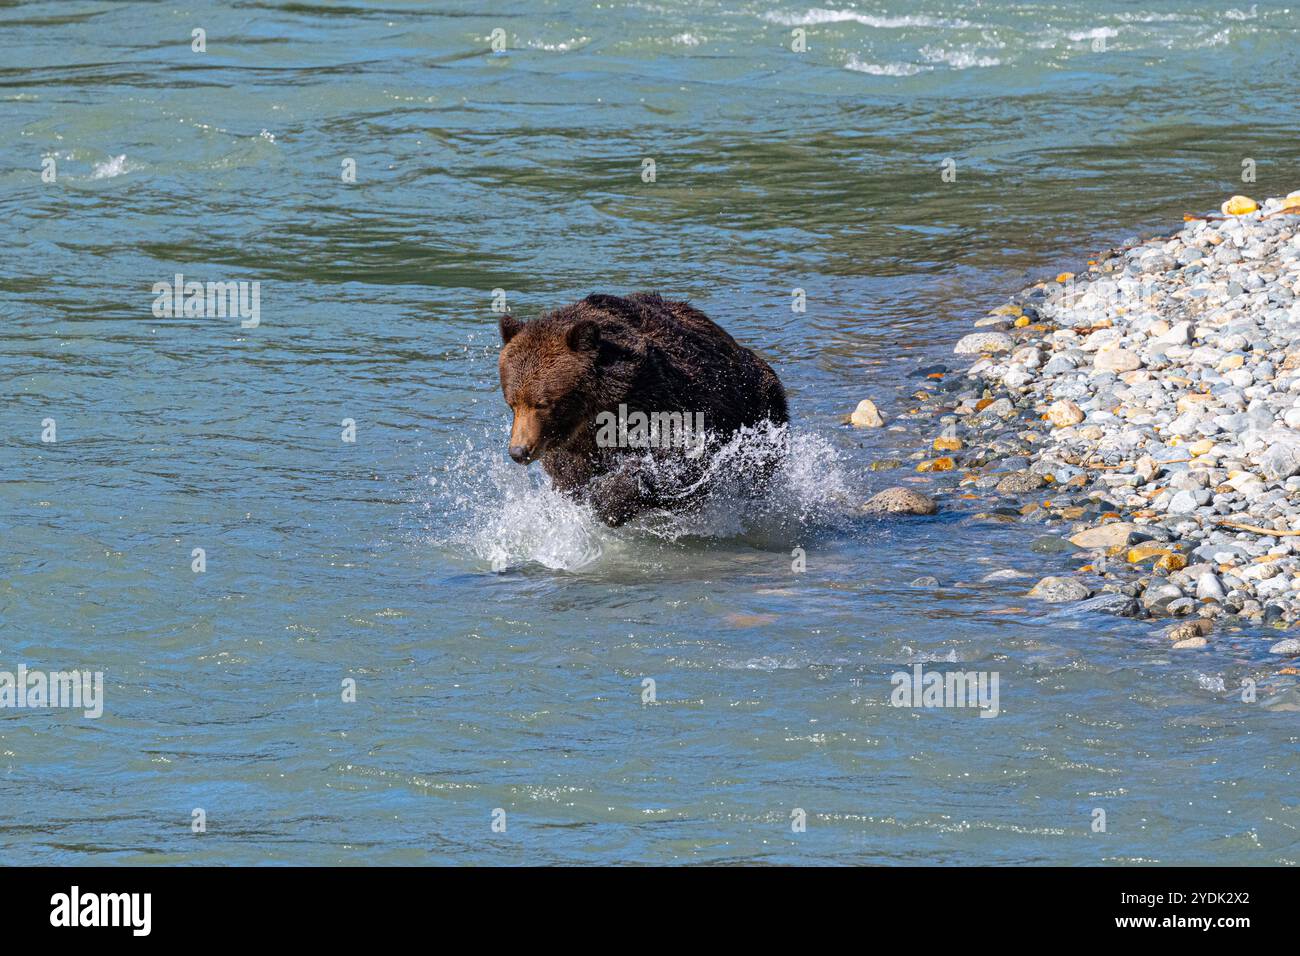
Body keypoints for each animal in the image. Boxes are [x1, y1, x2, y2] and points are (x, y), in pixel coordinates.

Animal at [497, 292, 788, 526]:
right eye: (512, 402)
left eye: (542, 403)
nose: (519, 451)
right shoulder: (570, 445)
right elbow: (570, 476)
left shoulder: (667, 402)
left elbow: (676, 462)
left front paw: (609, 500)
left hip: (759, 404)